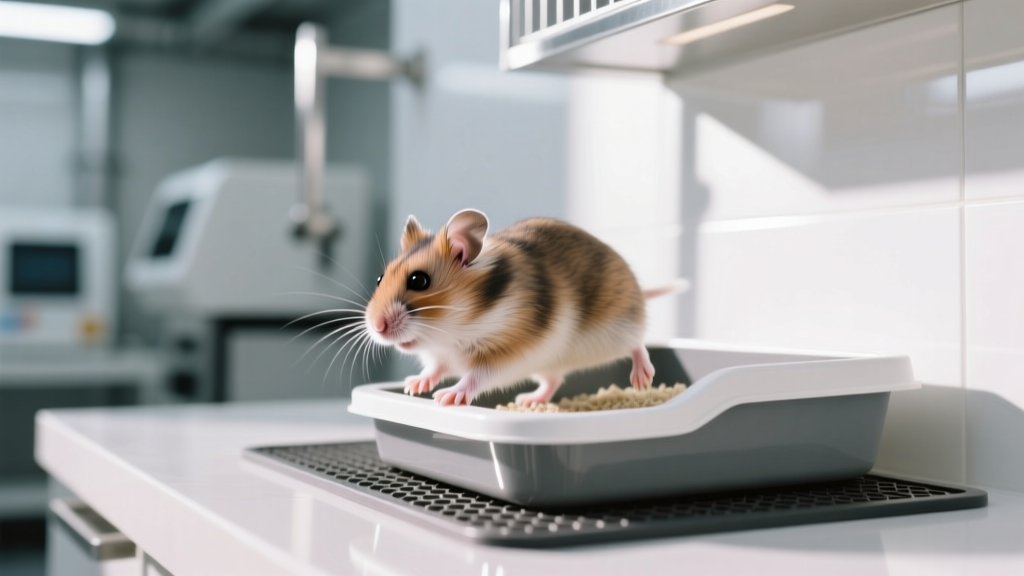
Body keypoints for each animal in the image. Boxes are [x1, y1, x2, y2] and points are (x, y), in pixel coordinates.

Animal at [364, 209, 682, 407]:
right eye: (380, 278)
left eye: (419, 280)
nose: (377, 327)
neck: (455, 329)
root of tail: (639, 293)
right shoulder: (442, 356)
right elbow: (435, 367)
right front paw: (413, 385)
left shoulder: (509, 352)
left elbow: (475, 376)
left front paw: (445, 398)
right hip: (548, 364)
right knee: (554, 380)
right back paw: (528, 401)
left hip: (619, 327)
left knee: (638, 343)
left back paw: (642, 380)